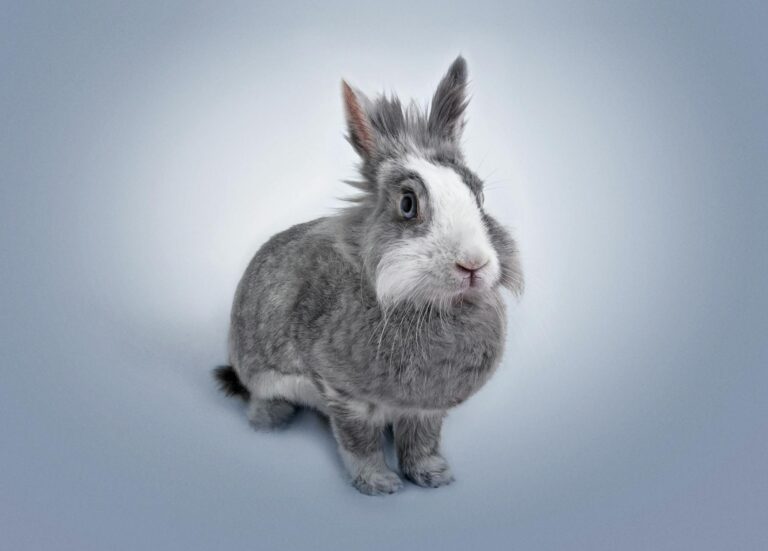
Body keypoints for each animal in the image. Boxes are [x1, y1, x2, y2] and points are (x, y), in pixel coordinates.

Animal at [214, 56, 523, 495]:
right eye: (408, 204)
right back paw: (270, 424)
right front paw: (379, 484)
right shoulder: (344, 395)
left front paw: (433, 476)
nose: (474, 265)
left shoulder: (424, 409)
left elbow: (422, 441)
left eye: (479, 196)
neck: (425, 305)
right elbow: (358, 442)